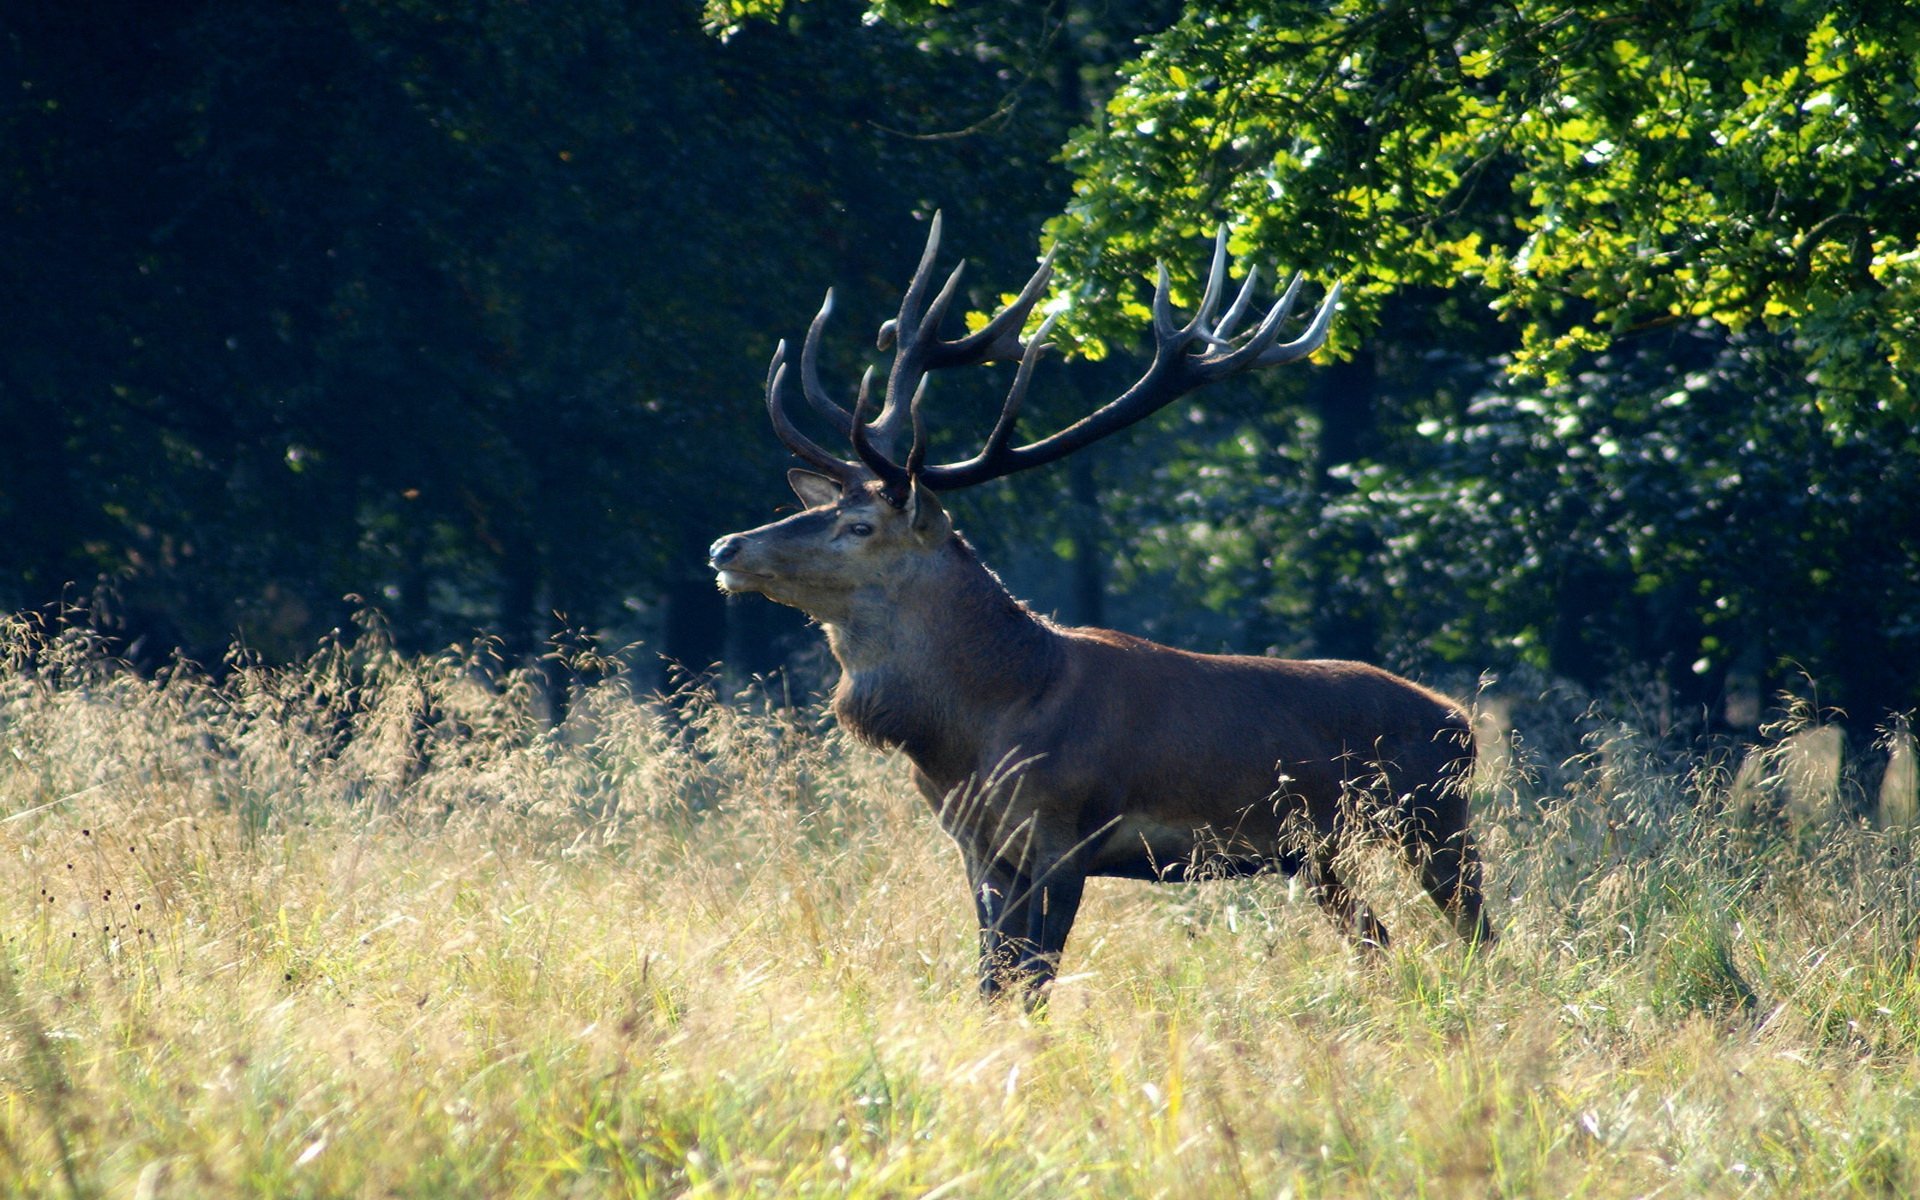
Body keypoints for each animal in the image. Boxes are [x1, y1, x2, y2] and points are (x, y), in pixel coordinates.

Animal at [708, 215, 1494, 1002]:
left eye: (860, 526)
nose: (725, 546)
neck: (976, 729)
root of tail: (1461, 719)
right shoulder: (976, 844)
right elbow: (992, 981)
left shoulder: (1067, 830)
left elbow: (1033, 979)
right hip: (1317, 851)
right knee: (1378, 940)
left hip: (1435, 818)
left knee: (1480, 935)